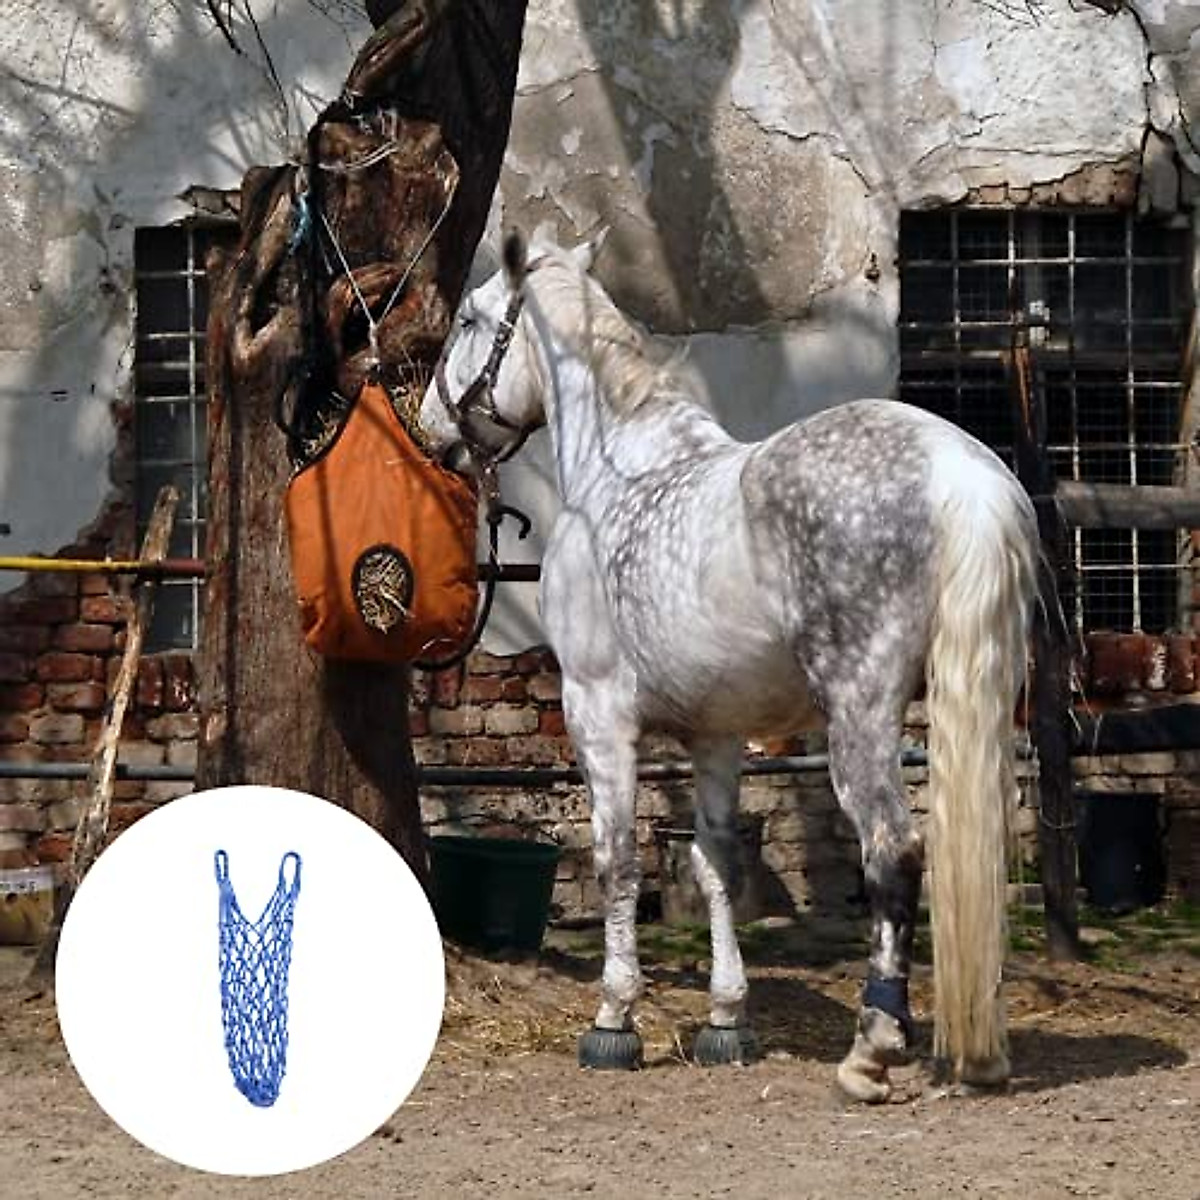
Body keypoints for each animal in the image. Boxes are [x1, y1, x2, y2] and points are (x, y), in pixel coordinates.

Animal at [420, 231, 1039, 1103]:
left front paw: (614, 1020)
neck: (620, 471)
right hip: (977, 701)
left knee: (893, 850)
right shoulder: (715, 735)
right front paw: (725, 1019)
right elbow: (715, 866)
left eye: (470, 318)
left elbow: (616, 862)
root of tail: (957, 470)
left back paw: (872, 1050)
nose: (428, 425)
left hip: (862, 711)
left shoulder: (597, 716)